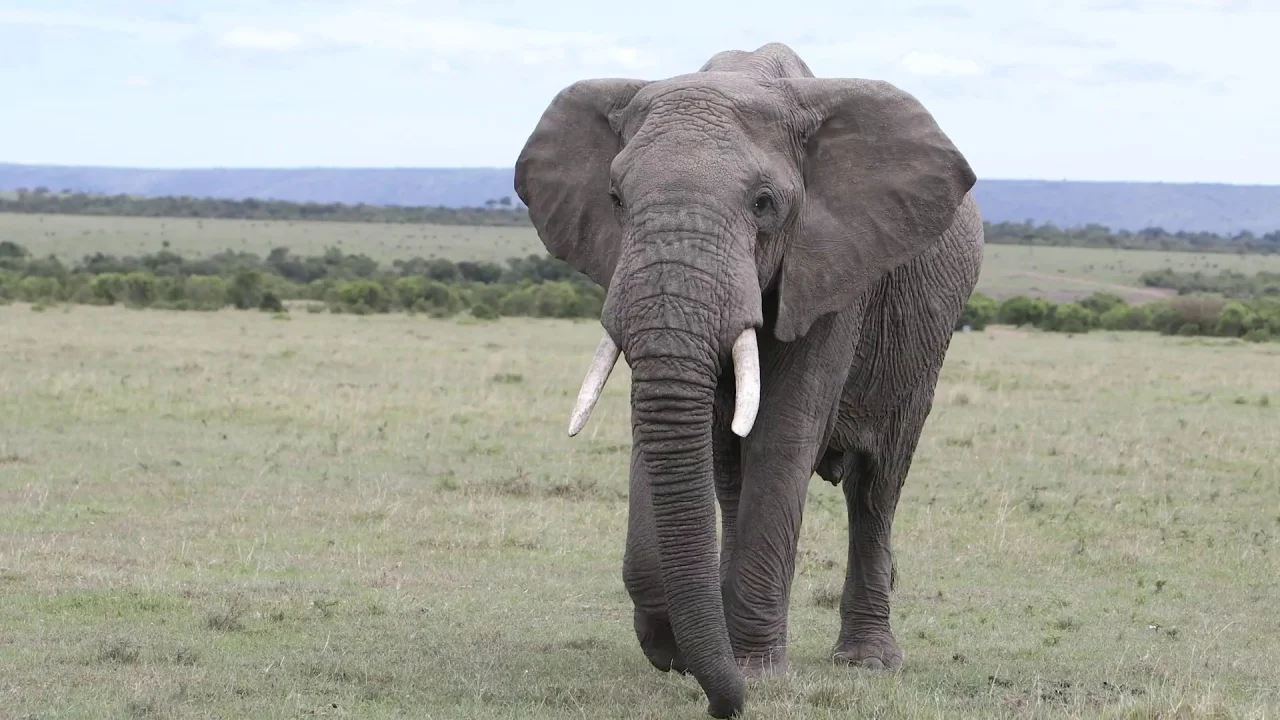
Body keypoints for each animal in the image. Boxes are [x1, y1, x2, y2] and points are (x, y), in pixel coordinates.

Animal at [513, 42, 983, 718]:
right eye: (615, 198)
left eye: (764, 203)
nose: (722, 704)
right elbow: (684, 431)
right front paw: (695, 653)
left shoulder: (832, 266)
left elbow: (785, 433)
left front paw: (755, 673)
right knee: (733, 474)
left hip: (924, 343)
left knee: (877, 486)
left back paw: (867, 662)